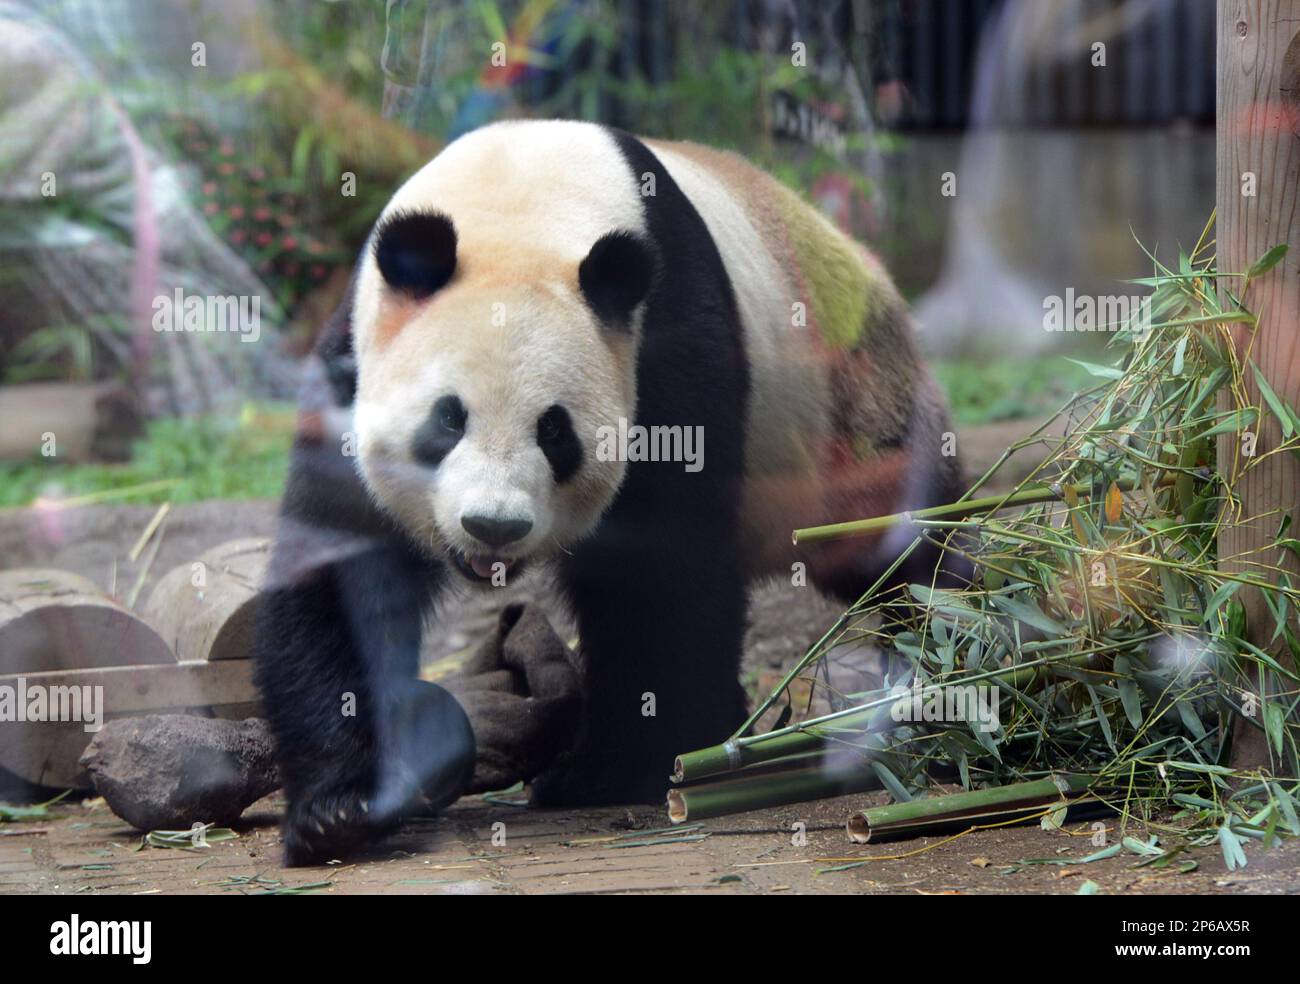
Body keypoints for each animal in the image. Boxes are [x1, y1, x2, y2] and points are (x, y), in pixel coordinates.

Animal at [253, 119, 963, 865]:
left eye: (554, 432)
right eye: (447, 420)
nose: (493, 526)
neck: (522, 195)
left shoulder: (668, 345)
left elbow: (659, 575)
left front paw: (611, 770)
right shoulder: (349, 366)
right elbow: (338, 569)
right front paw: (342, 809)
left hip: (854, 417)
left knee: (905, 554)